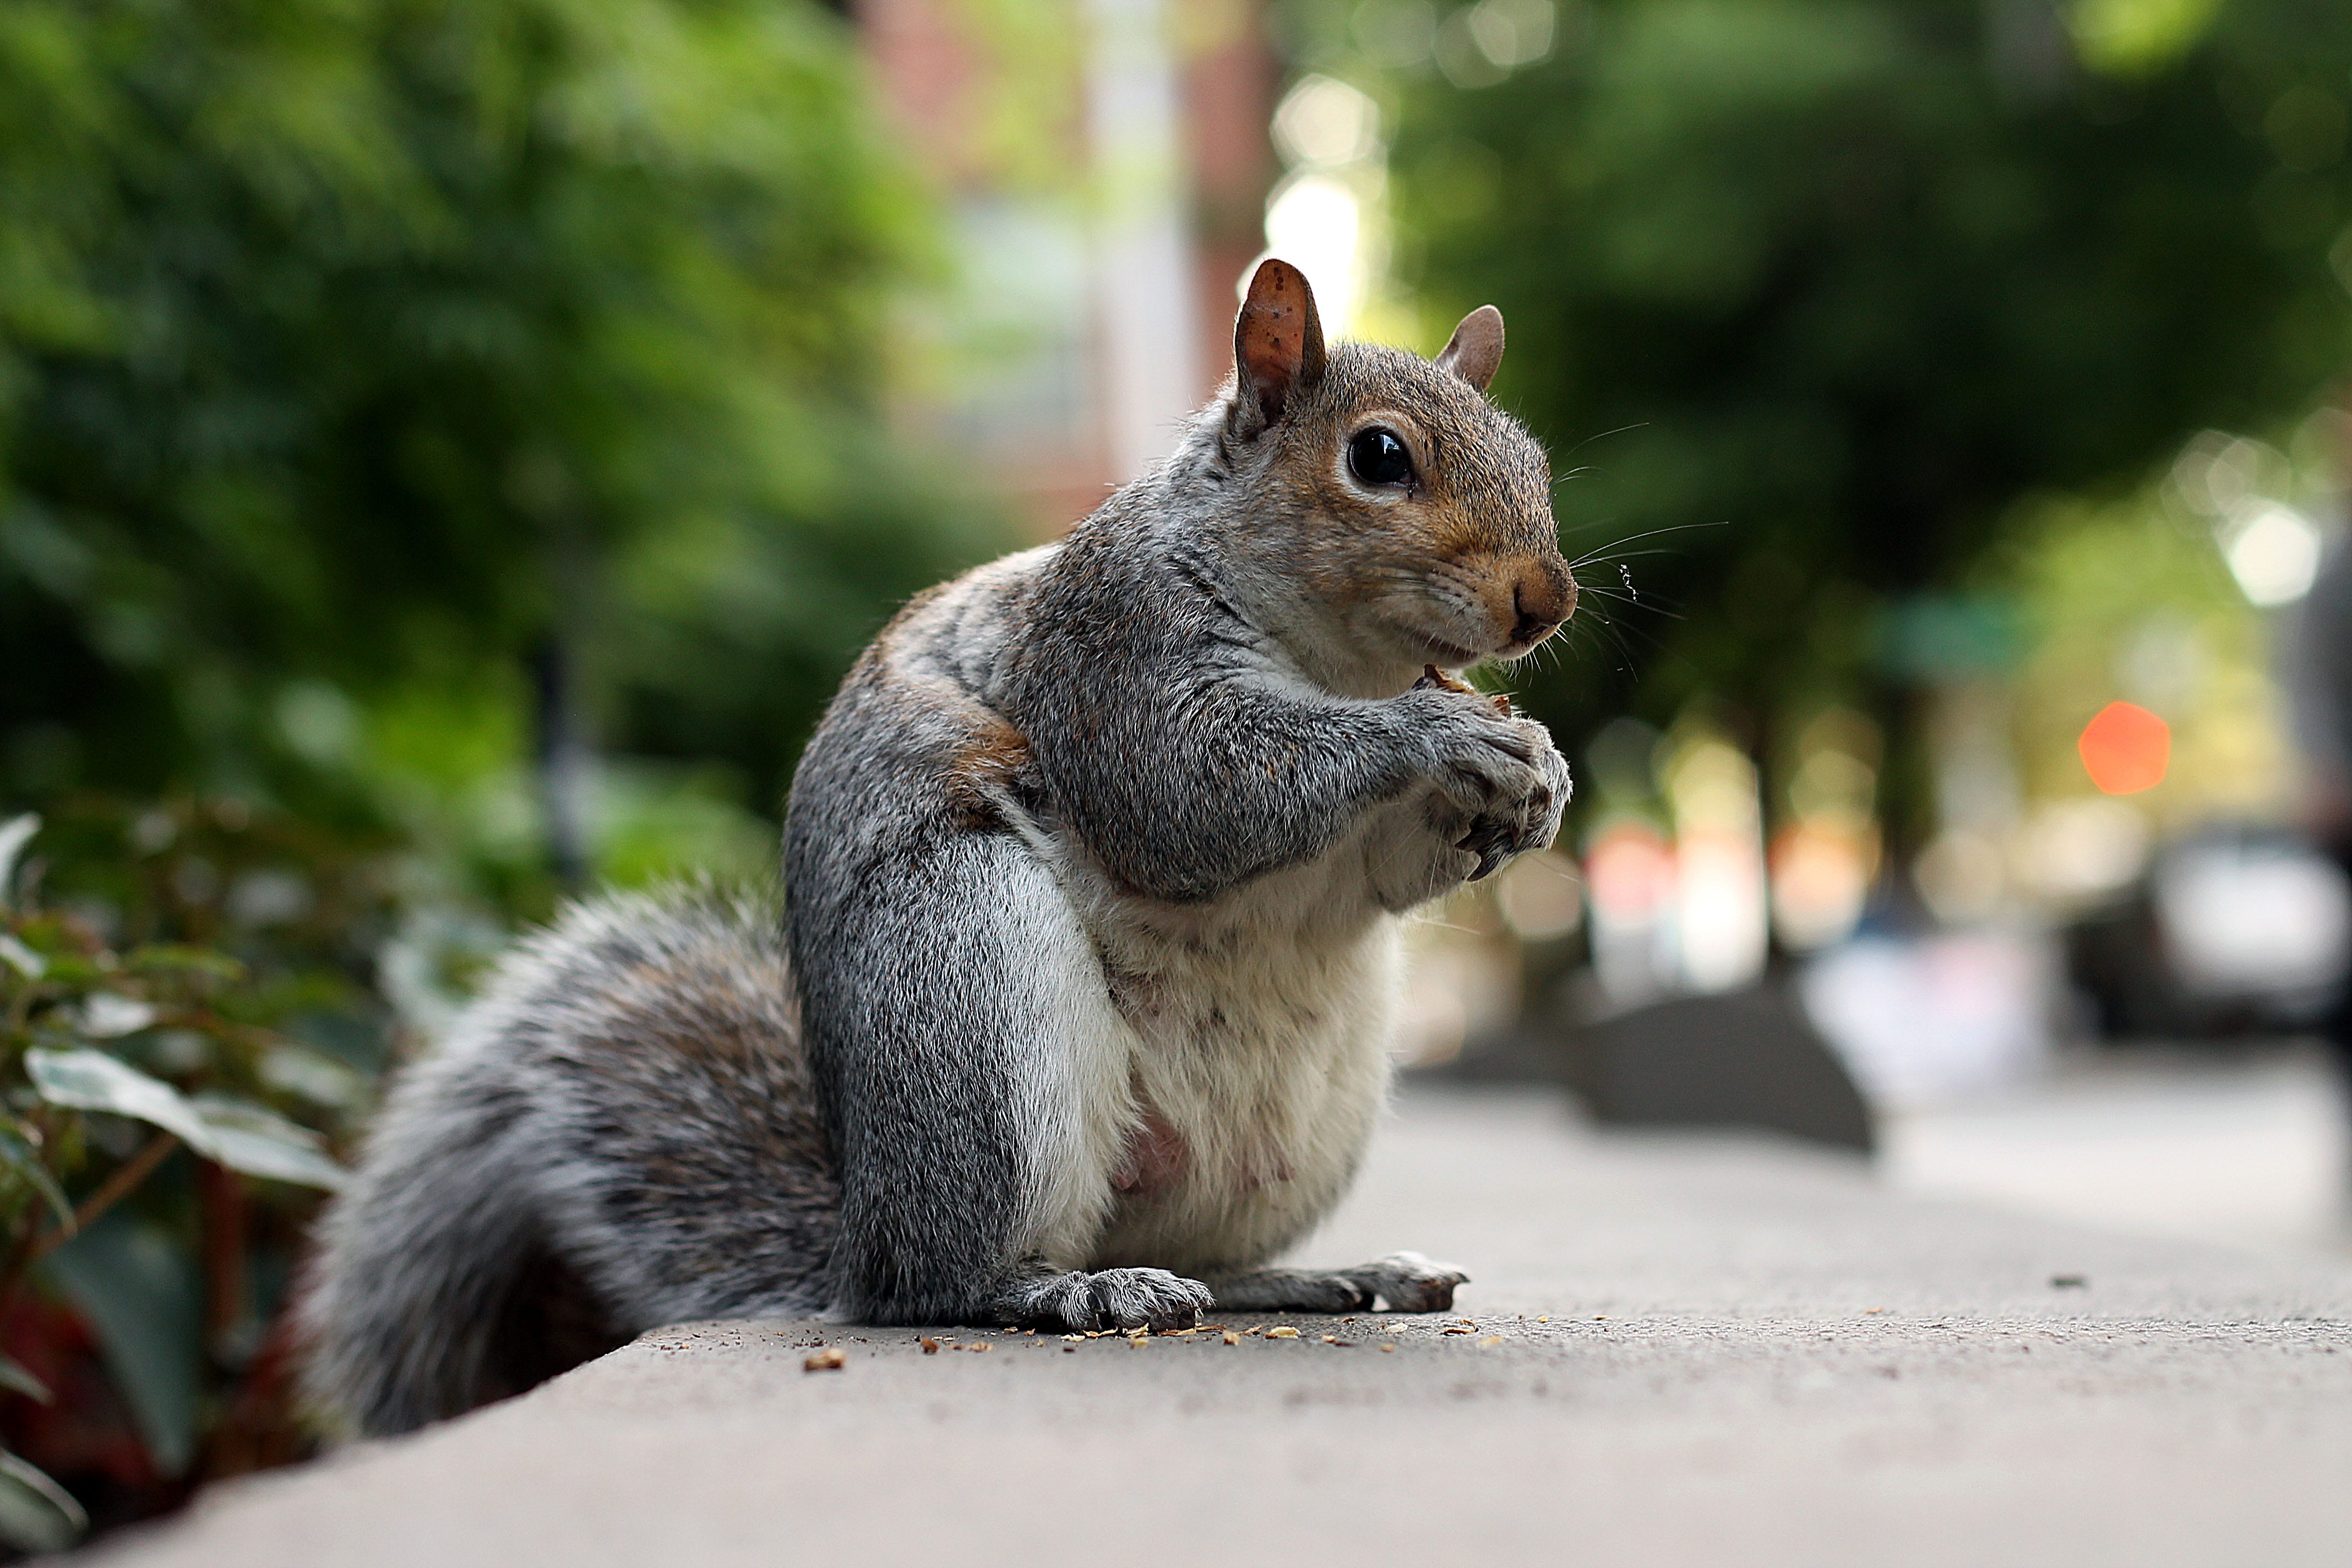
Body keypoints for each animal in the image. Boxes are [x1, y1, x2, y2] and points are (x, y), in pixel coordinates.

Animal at [297, 260, 1576, 1437]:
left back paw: (1323, 1275)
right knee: (941, 1281)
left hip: (1294, 1126)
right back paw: (1060, 1289)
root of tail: (857, 1233)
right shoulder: (1110, 660)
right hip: (968, 982)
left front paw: (1538, 776)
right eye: (1378, 458)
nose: (1548, 598)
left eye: (1533, 457)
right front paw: (1440, 734)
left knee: (1205, 1262)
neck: (1338, 660)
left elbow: (1382, 870)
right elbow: (1192, 795)